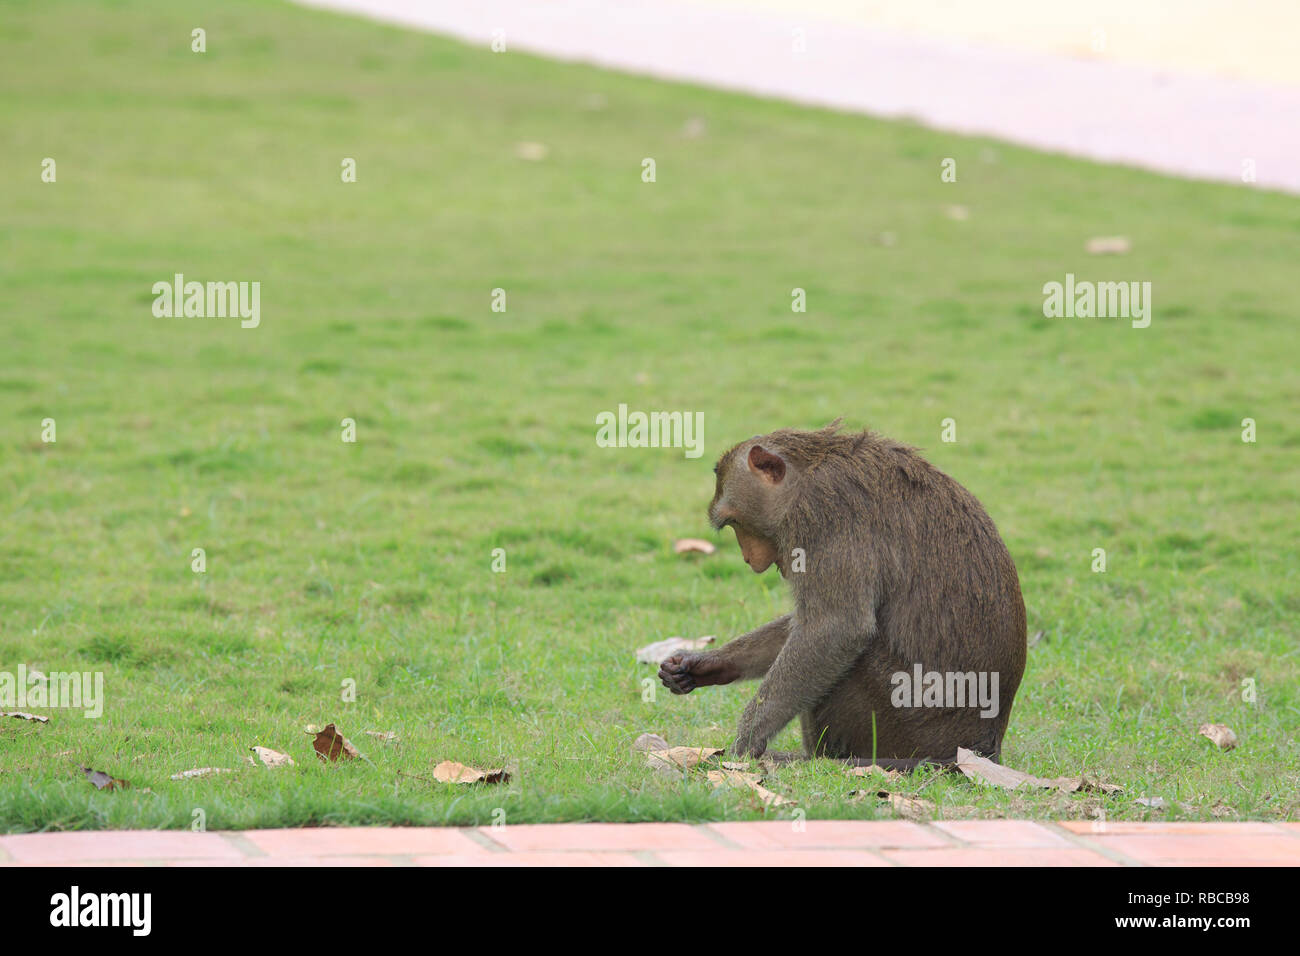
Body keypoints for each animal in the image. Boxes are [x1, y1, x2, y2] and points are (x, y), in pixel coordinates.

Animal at [659, 421, 1026, 767]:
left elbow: (835, 628)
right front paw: (702, 663)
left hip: (907, 720)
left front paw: (744, 743)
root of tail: (983, 745)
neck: (810, 469)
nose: (749, 559)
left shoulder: (823, 514)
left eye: (736, 521)